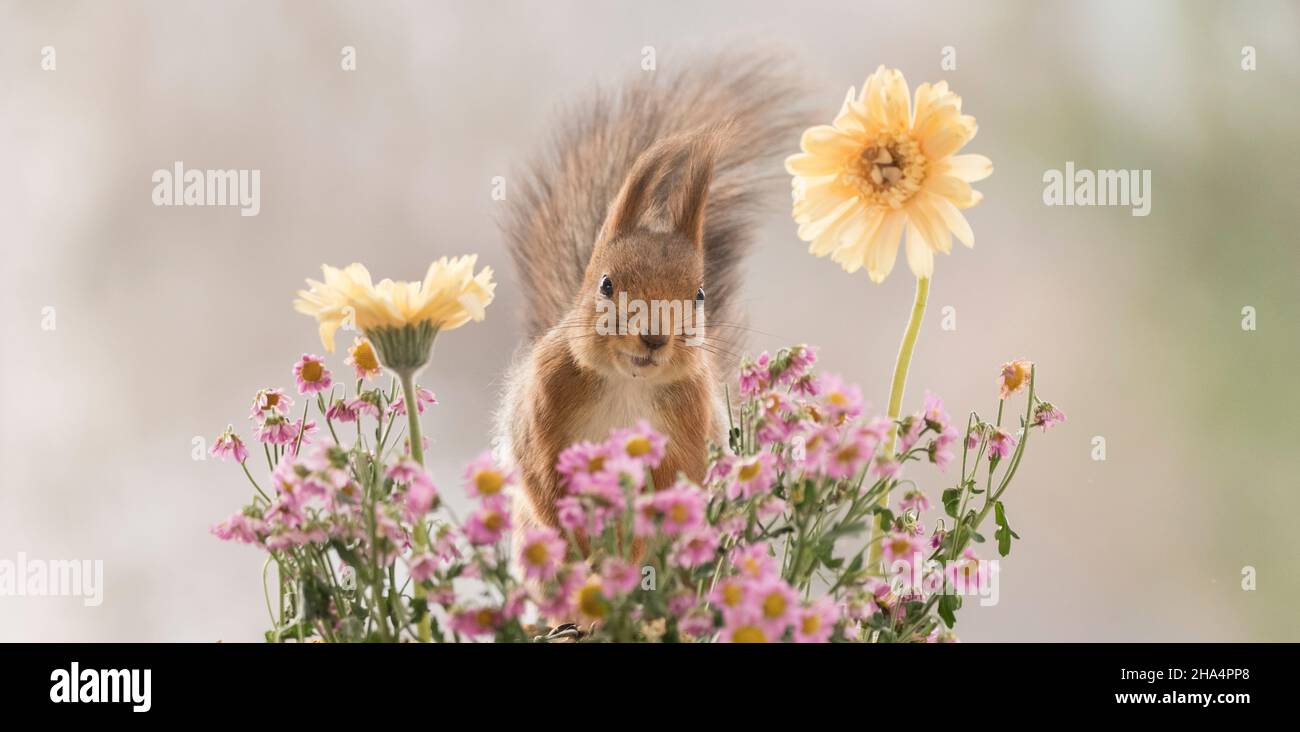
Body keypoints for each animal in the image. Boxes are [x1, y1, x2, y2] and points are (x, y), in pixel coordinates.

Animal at [495, 52, 804, 546]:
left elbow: (678, 487)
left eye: (699, 296)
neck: (628, 382)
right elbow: (541, 480)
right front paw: (576, 534)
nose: (654, 338)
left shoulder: (689, 426)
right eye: (606, 284)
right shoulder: (543, 406)